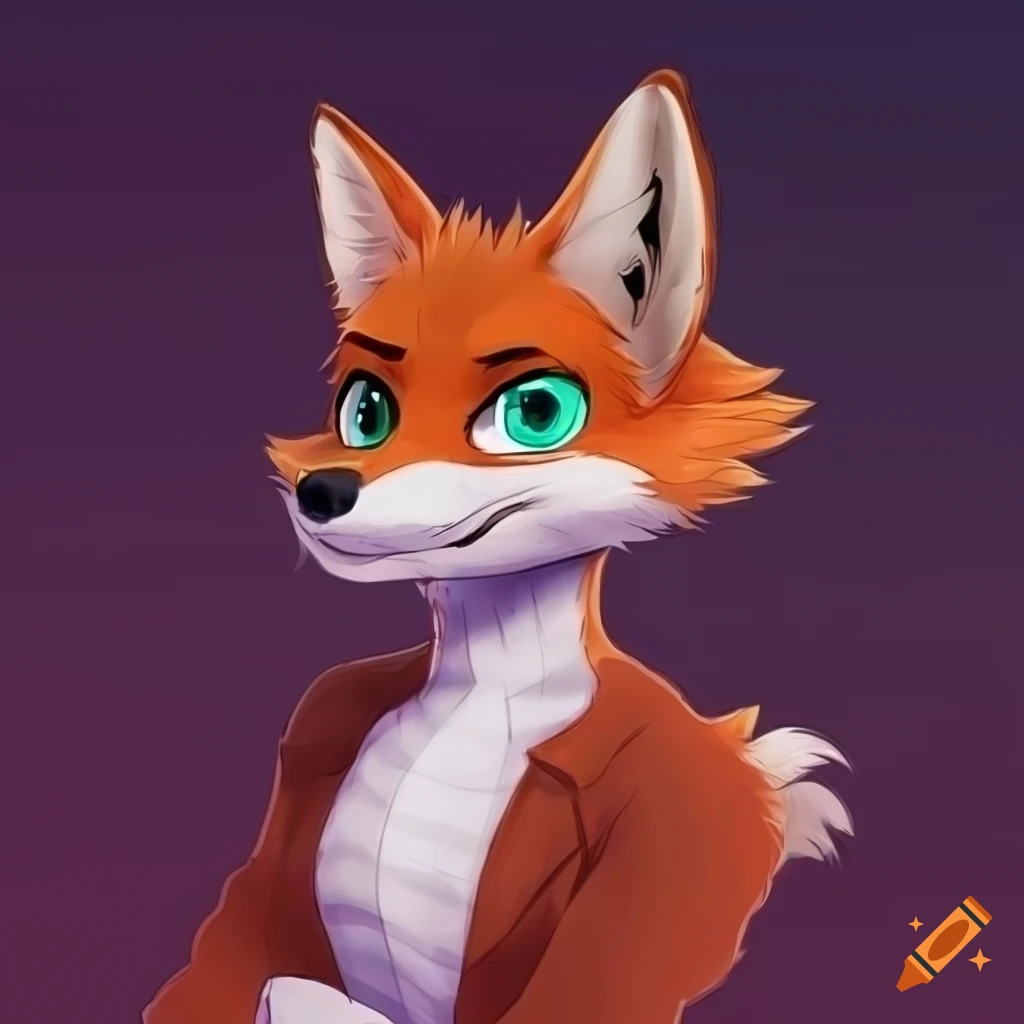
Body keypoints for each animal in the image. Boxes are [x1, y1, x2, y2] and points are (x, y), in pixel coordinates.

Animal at [144, 69, 852, 1024]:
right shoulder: (293, 797)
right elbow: (245, 954)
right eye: (365, 409)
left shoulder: (679, 824)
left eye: (534, 412)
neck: (484, 686)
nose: (324, 491)